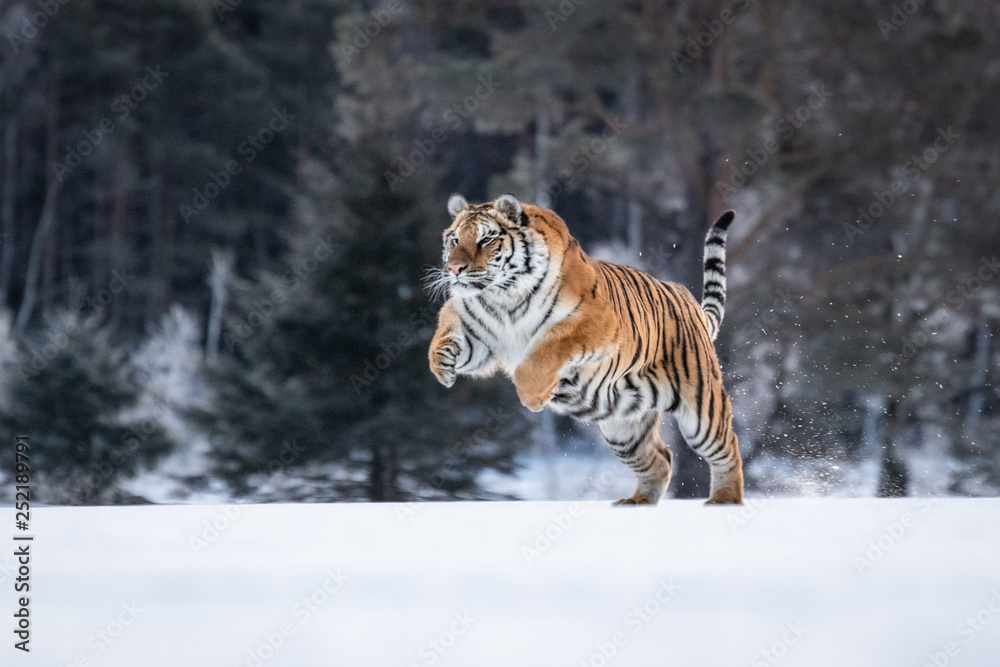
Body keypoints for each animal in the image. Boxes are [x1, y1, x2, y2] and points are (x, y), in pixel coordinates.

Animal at [427, 193, 743, 505]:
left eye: (486, 240)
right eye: (455, 240)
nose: (454, 269)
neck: (503, 298)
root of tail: (688, 299)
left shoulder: (595, 321)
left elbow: (548, 345)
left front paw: (533, 396)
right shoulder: (476, 332)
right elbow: (445, 331)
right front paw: (441, 367)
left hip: (701, 410)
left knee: (727, 448)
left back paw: (724, 499)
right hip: (623, 426)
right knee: (661, 459)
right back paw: (637, 503)